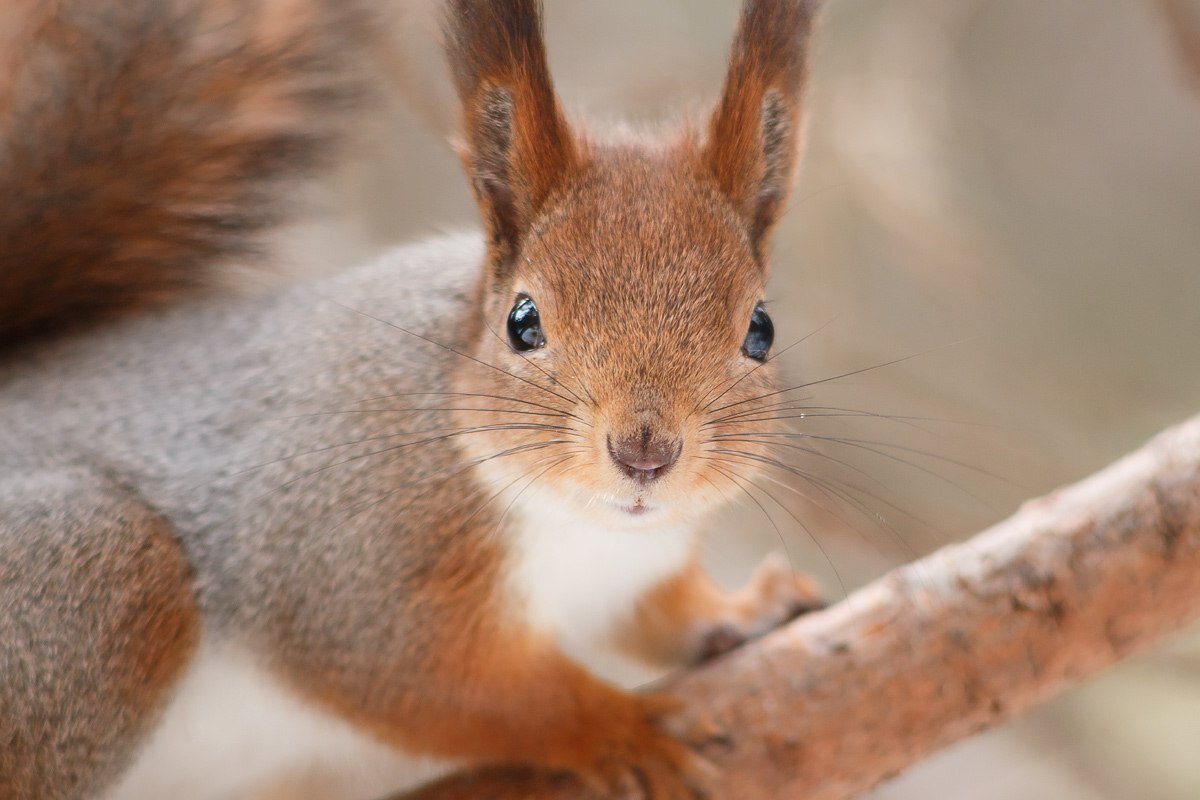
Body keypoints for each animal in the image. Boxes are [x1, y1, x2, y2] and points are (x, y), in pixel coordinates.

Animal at [0, 1, 825, 800]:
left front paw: (744, 611)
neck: (578, 532)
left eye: (761, 329)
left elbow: (661, 616)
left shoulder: (635, 571)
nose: (646, 452)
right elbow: (442, 684)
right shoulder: (345, 560)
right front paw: (614, 728)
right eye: (522, 322)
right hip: (90, 572)